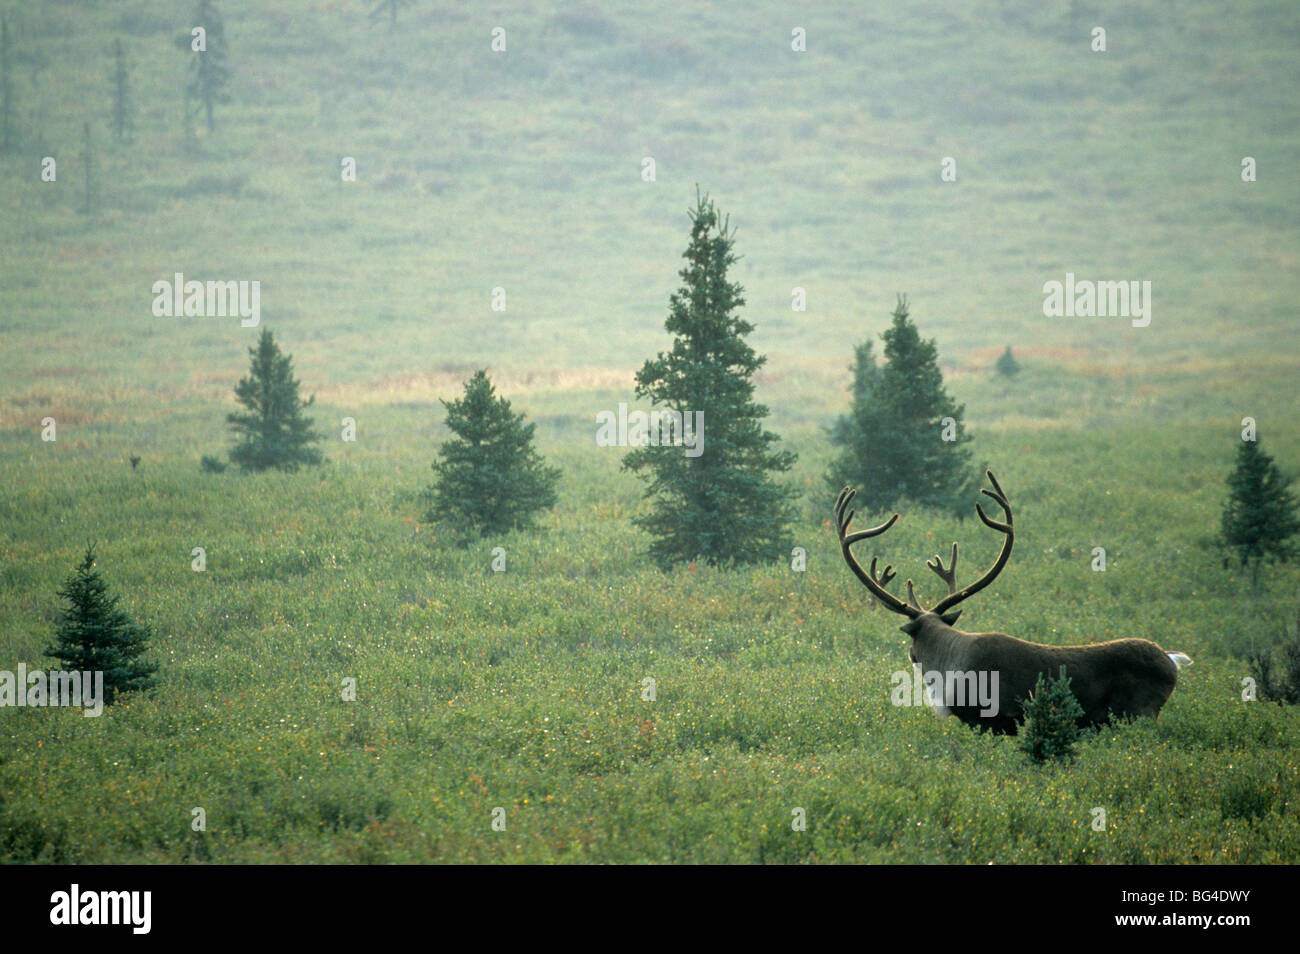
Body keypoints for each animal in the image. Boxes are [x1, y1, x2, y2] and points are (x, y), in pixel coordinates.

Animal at [834, 471, 1191, 734]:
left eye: (911, 644)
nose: (910, 656)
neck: (947, 662)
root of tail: (1172, 660)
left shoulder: (988, 718)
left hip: (1140, 713)